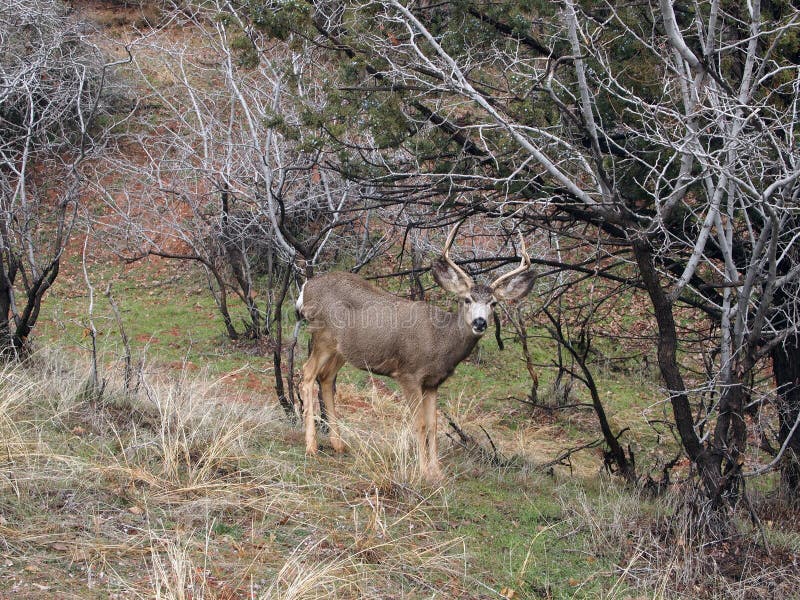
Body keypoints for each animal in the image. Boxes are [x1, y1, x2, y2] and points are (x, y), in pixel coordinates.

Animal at [295, 222, 536, 482]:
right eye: (467, 299)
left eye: (493, 303)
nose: (480, 322)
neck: (441, 342)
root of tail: (307, 287)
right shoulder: (408, 374)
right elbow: (419, 423)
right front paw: (422, 472)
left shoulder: (433, 382)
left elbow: (434, 425)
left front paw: (437, 472)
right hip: (323, 335)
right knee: (307, 373)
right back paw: (311, 446)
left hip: (342, 349)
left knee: (325, 377)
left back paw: (338, 444)